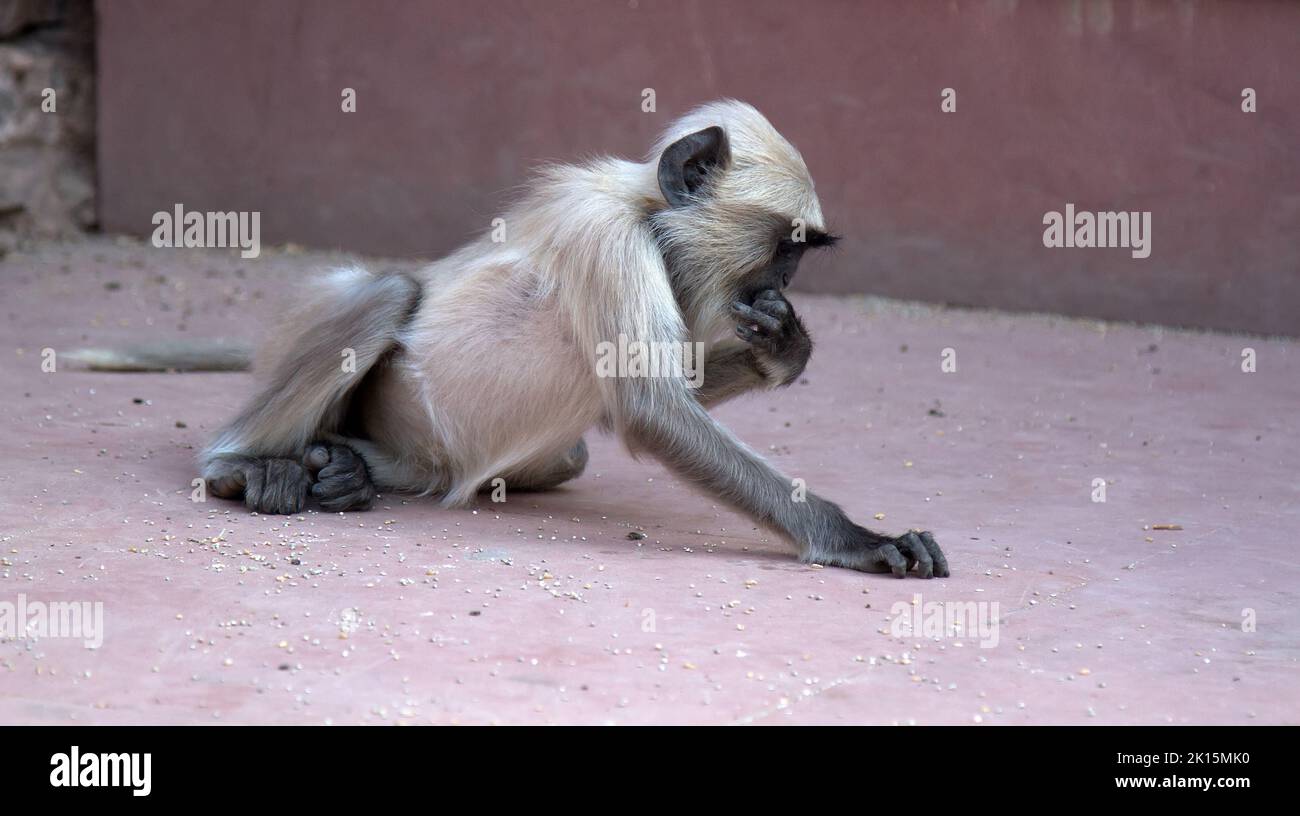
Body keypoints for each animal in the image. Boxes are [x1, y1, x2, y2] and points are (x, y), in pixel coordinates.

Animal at [185, 99, 948, 577]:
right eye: (787, 247)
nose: (788, 280)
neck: (649, 216)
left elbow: (624, 406)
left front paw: (784, 349)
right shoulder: (606, 237)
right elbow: (649, 408)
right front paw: (854, 539)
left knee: (568, 453)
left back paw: (350, 472)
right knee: (392, 291)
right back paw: (240, 467)